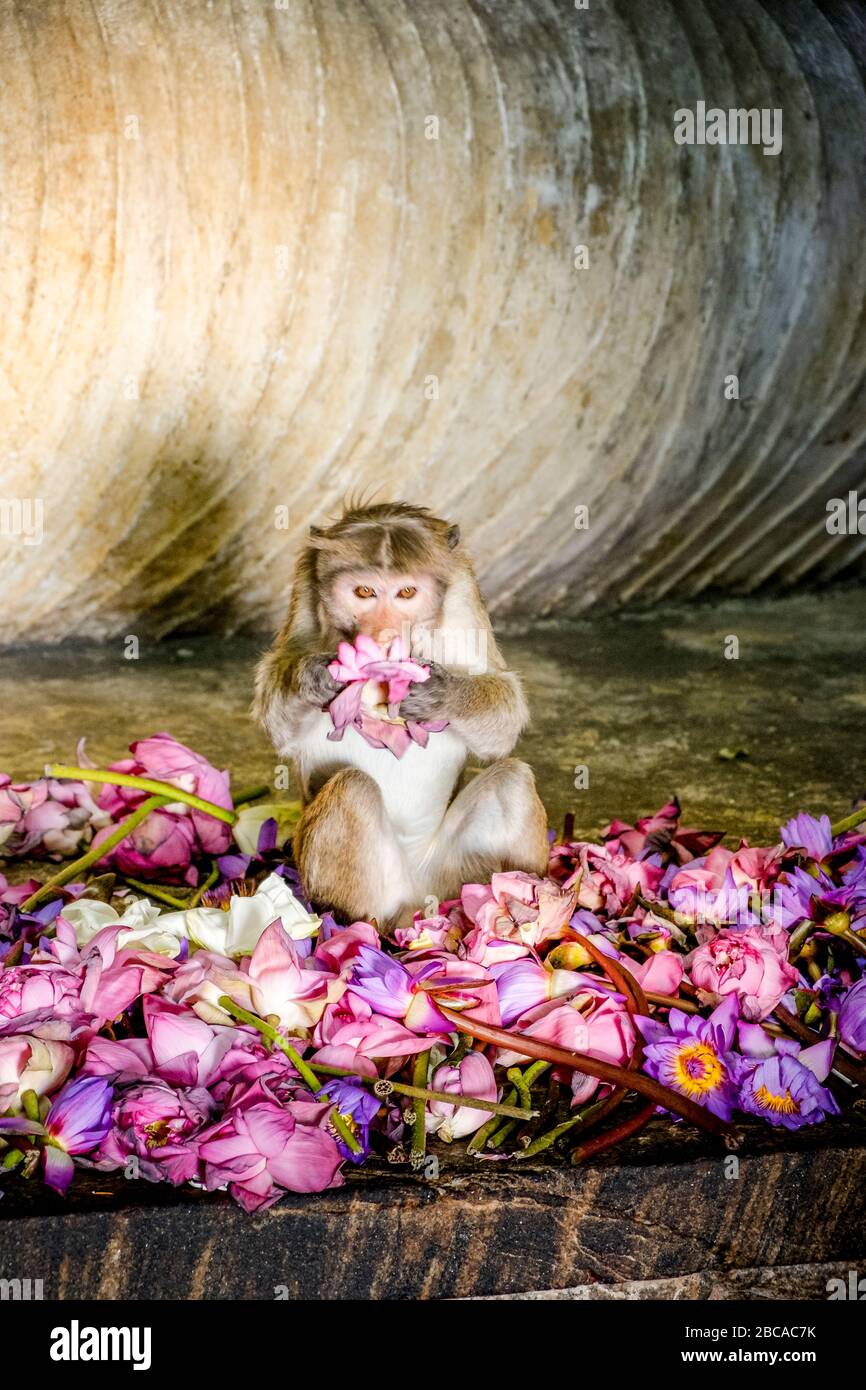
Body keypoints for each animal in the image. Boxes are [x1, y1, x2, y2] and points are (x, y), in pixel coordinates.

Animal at [252, 501, 549, 930]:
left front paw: (440, 693)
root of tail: (415, 905)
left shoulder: (463, 593)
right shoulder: (305, 586)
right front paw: (316, 677)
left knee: (512, 780)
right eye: (364, 591)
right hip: (377, 889)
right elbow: (280, 723)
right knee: (352, 787)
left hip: (450, 877)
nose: (384, 634)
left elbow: (504, 706)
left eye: (406, 592)